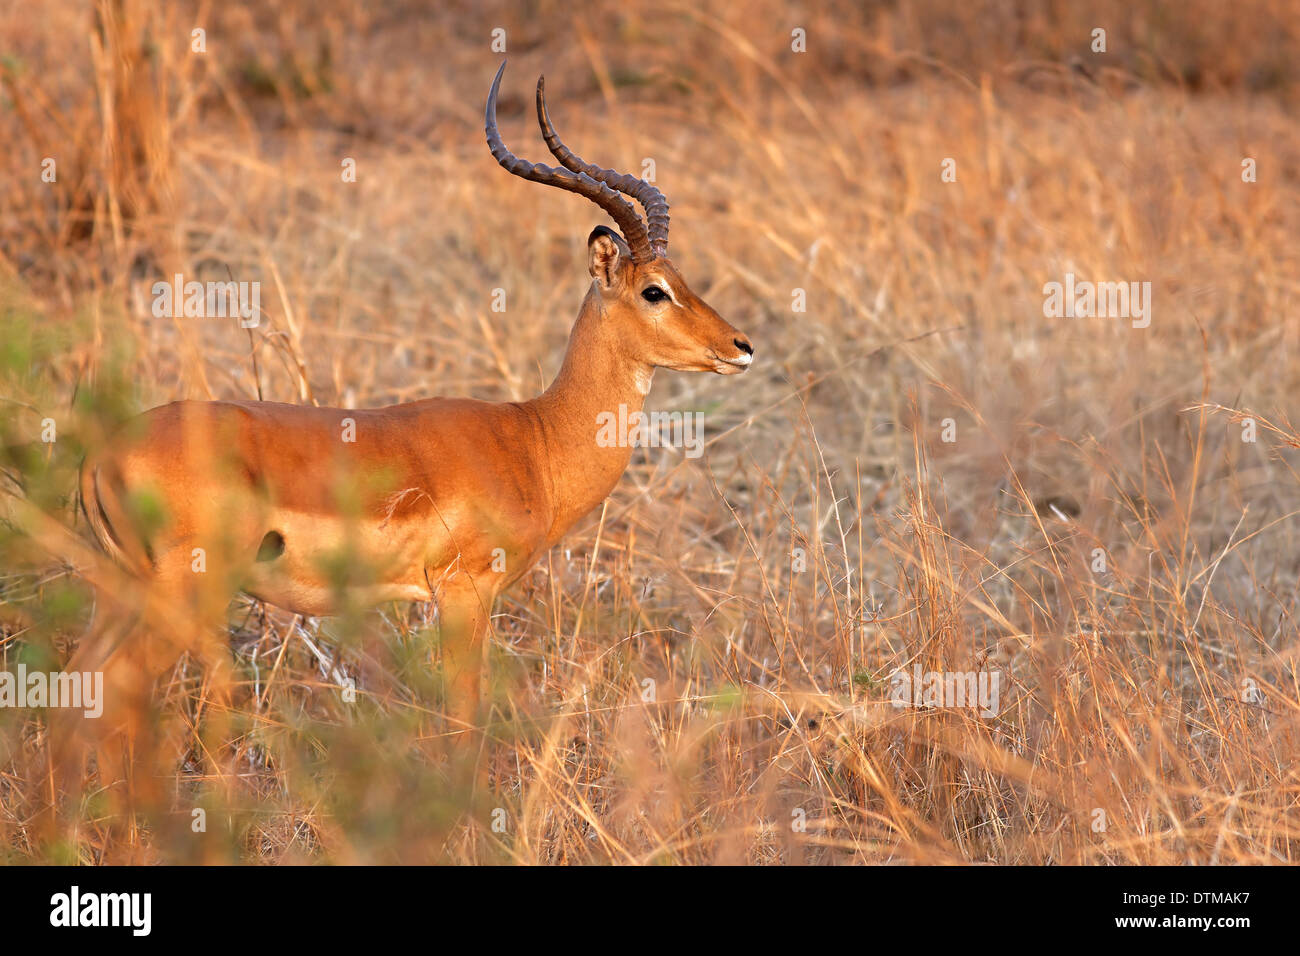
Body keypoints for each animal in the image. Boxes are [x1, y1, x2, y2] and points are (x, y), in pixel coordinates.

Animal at [70, 62, 753, 792]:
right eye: (655, 290)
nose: (741, 347)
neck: (534, 439)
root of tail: (101, 454)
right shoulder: (462, 592)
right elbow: (463, 719)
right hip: (178, 595)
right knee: (114, 695)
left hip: (123, 594)